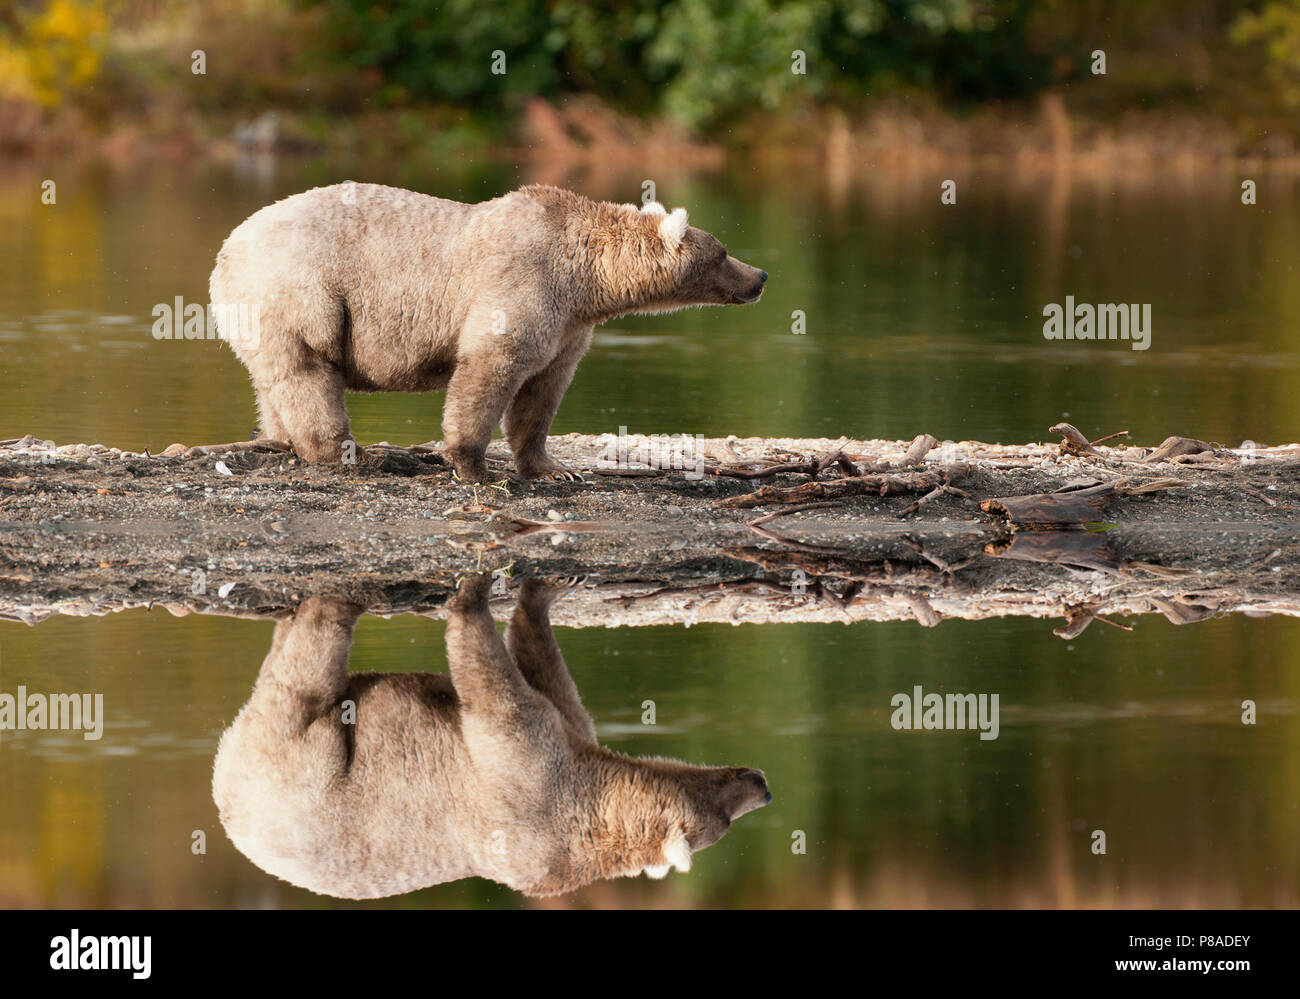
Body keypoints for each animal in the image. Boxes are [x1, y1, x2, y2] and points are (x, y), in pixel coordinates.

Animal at [208, 183, 768, 483]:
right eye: (722, 252)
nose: (760, 276)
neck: (587, 280)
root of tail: (226, 249)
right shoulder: (522, 282)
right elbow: (489, 368)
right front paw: (476, 467)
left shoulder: (568, 326)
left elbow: (543, 390)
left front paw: (553, 466)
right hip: (303, 290)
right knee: (307, 370)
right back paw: (348, 453)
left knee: (274, 376)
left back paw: (278, 439)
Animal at [210, 575, 771, 899]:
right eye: (724, 822)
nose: (762, 784)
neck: (591, 792)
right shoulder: (544, 770)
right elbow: (524, 672)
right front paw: (520, 588)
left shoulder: (535, 783)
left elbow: (505, 688)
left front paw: (488, 593)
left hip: (301, 767)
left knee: (303, 672)